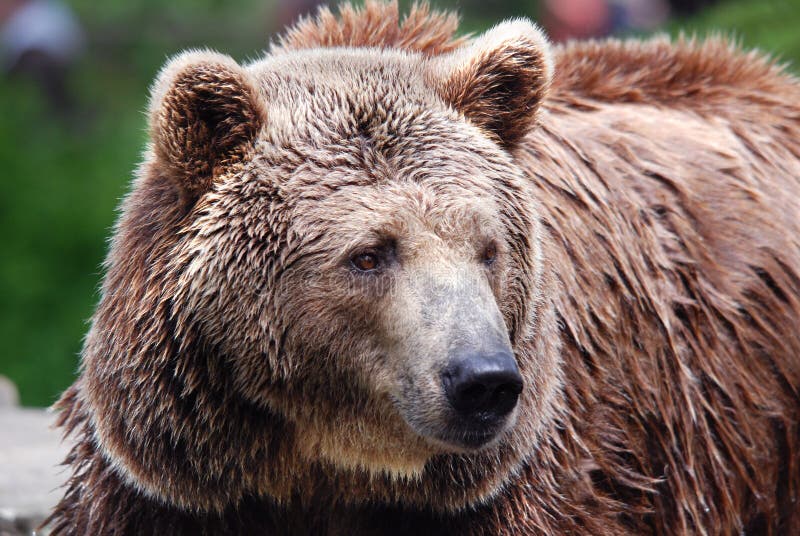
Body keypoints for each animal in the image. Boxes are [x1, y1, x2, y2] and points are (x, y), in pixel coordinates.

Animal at [45, 1, 800, 534]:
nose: (483, 380)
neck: (329, 465)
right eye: (369, 254)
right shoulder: (173, 489)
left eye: (488, 248)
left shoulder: (532, 485)